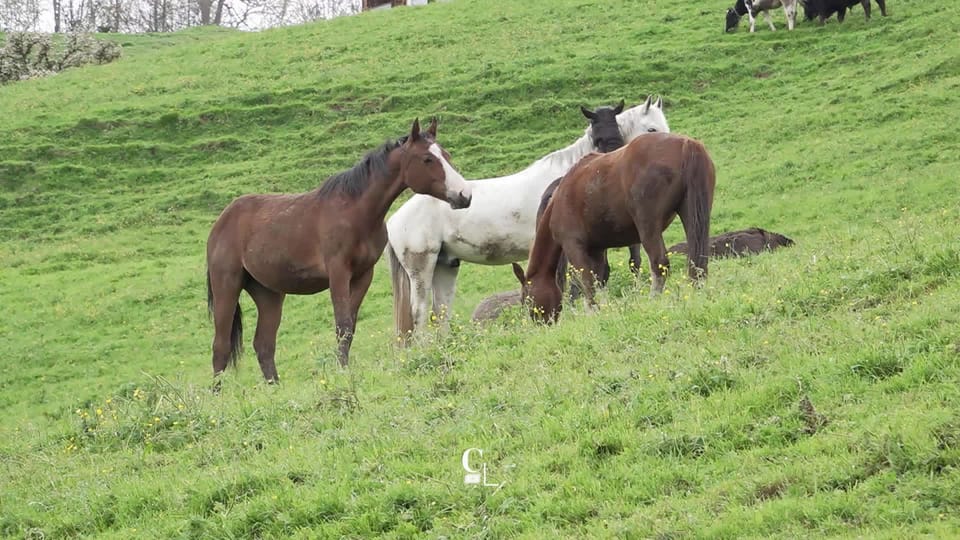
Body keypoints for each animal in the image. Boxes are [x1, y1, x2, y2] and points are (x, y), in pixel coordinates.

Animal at [205, 118, 470, 382]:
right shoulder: (339, 273)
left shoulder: (363, 275)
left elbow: (350, 326)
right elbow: (342, 325)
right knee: (221, 346)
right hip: (227, 286)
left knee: (264, 345)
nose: (464, 195)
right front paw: (343, 372)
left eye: (446, 155)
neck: (355, 212)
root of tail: (221, 222)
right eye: (427, 159)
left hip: (268, 293)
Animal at [386, 96, 669, 341]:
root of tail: (393, 221)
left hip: (444, 266)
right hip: (421, 269)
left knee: (440, 314)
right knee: (419, 314)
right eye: (652, 128)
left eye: (618, 132)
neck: (570, 177)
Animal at [512, 132, 716, 323]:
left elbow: (586, 282)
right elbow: (598, 279)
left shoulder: (573, 246)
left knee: (659, 263)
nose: (541, 323)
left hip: (648, 227)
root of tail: (686, 143)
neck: (559, 200)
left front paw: (593, 313)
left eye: (527, 300)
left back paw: (653, 299)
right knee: (698, 260)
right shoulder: (596, 250)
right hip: (692, 214)